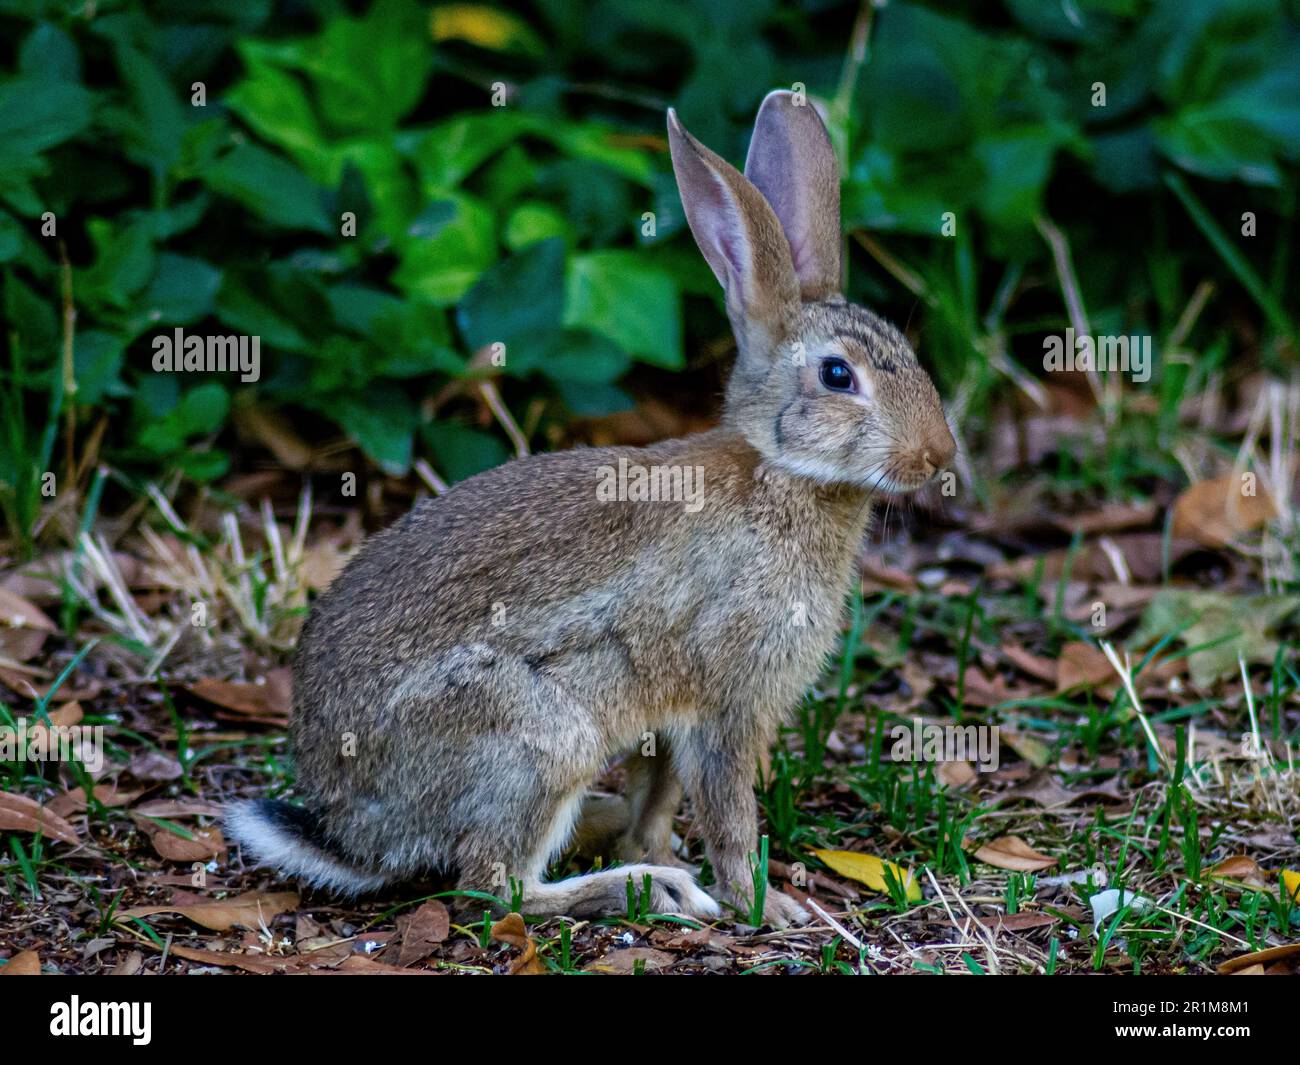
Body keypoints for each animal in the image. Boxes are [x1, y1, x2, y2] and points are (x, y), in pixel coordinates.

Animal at [225, 89, 956, 928]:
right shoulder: (726, 699)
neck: (779, 473)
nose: (939, 454)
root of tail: (354, 828)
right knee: (493, 882)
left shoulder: (672, 712)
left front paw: (663, 848)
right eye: (839, 376)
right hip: (541, 737)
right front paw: (762, 903)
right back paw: (645, 887)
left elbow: (661, 795)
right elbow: (727, 810)